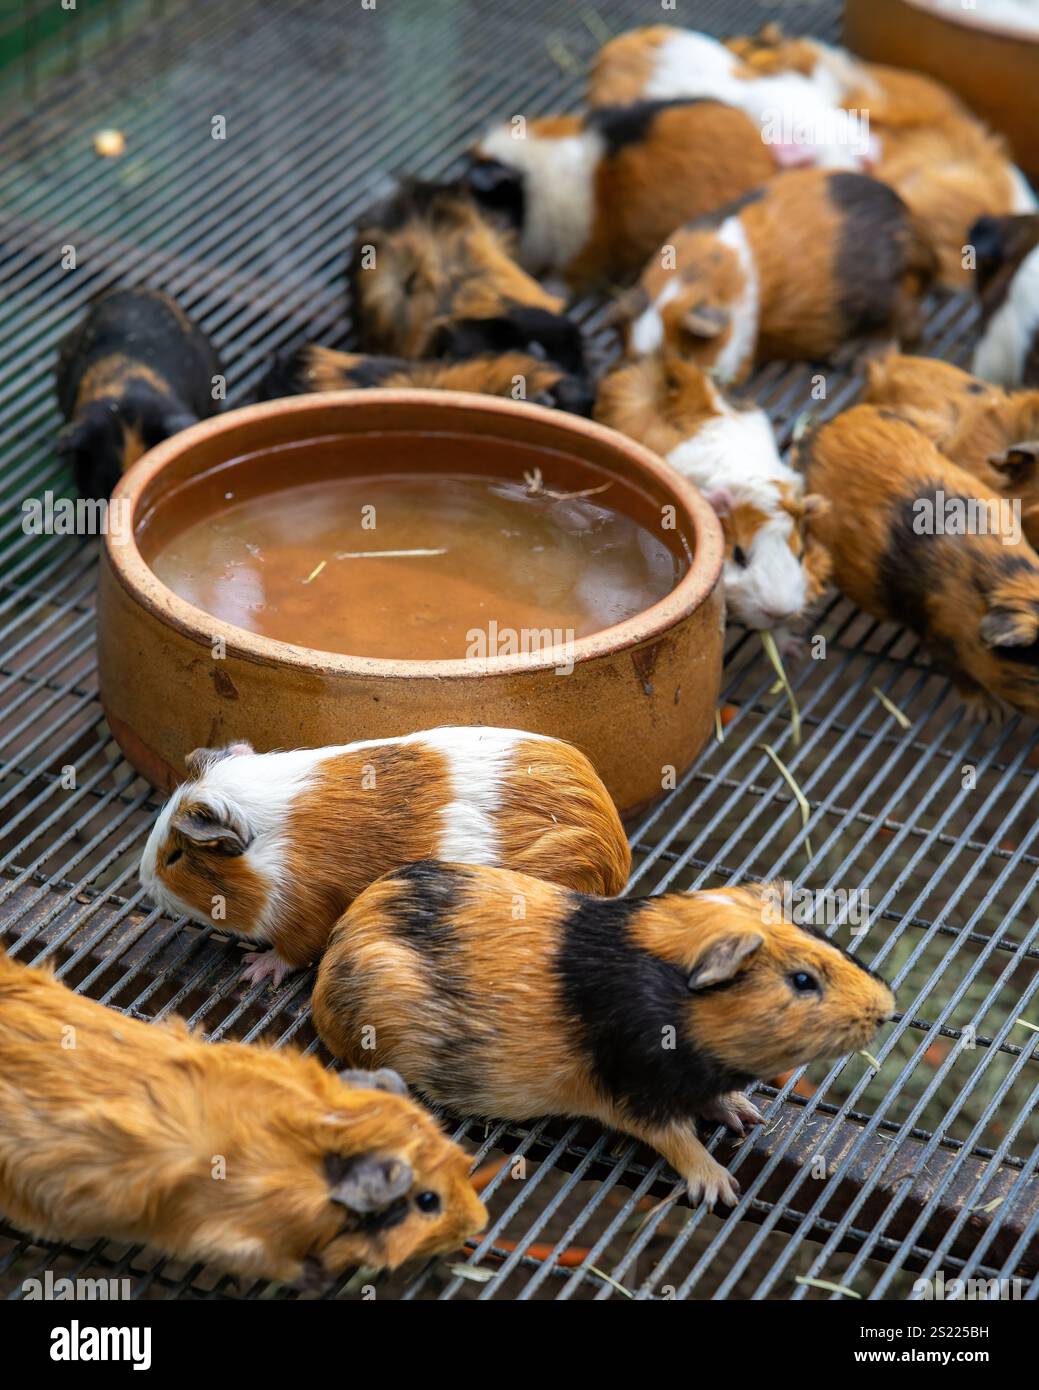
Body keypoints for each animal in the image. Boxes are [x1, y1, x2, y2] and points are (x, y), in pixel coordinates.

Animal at [139, 727, 631, 986]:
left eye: (176, 857)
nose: (145, 884)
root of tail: (615, 847)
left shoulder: (305, 915)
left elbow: (294, 950)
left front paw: (253, 970)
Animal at [312, 863, 895, 1209]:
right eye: (802, 980)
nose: (886, 1008)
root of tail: (343, 937)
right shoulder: (634, 1099)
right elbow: (679, 1141)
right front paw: (720, 1189)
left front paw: (746, 1116)